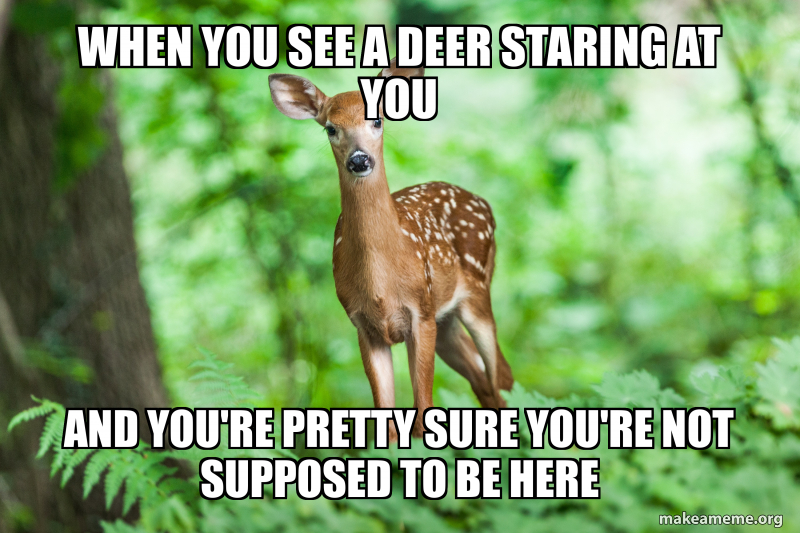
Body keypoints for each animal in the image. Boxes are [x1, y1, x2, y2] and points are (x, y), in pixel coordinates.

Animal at [268, 60, 514, 438]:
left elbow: (423, 409)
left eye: (378, 120)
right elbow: (387, 420)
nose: (359, 160)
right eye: (330, 128)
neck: (381, 282)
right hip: (446, 323)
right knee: (485, 383)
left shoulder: (421, 313)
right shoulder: (363, 326)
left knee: (500, 378)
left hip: (476, 293)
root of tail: (483, 202)